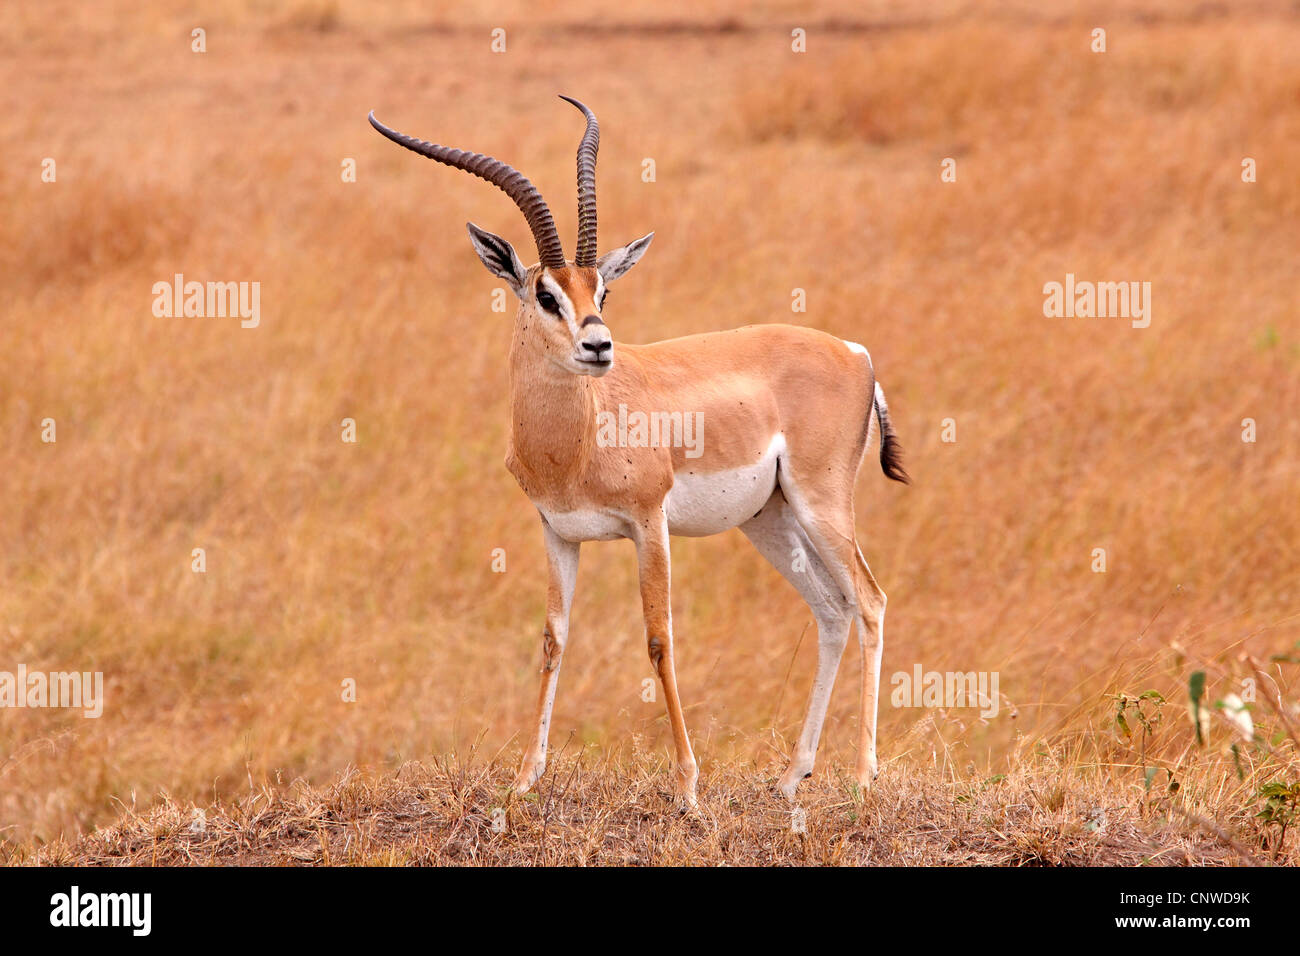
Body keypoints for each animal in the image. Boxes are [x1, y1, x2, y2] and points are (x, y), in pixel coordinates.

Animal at [369, 97, 909, 805]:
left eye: (601, 291)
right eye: (546, 293)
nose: (599, 346)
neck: (575, 445)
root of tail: (856, 352)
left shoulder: (649, 525)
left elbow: (658, 639)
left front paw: (687, 785)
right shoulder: (557, 531)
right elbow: (553, 638)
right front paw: (525, 777)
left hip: (822, 505)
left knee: (869, 601)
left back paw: (864, 775)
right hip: (772, 519)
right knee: (833, 610)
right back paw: (794, 775)